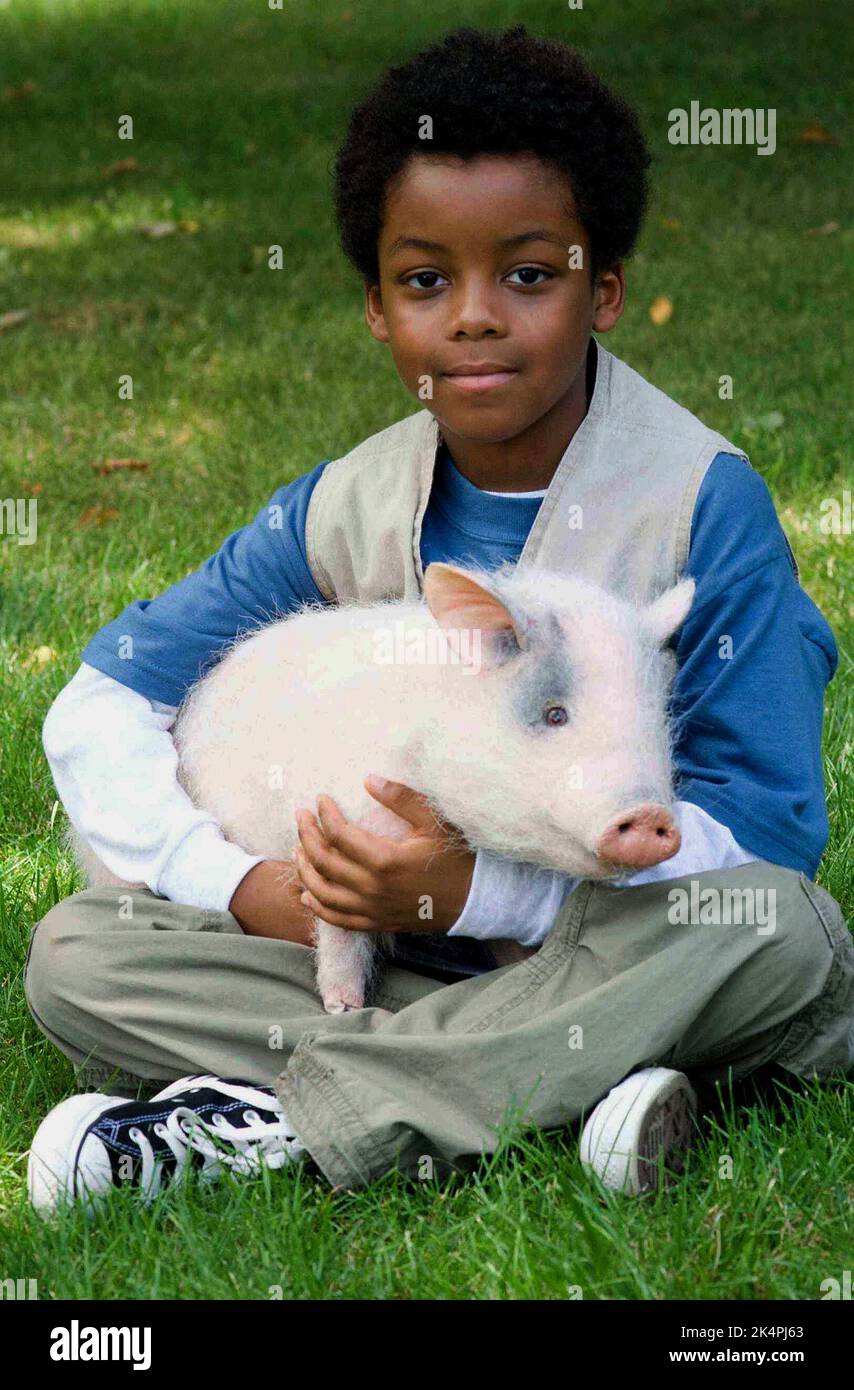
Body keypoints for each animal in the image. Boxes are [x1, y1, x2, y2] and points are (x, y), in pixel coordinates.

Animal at [68, 560, 695, 1013]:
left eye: (658, 720)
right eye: (555, 714)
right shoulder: (329, 827)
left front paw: (519, 970)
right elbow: (339, 932)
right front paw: (342, 1009)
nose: (651, 818)